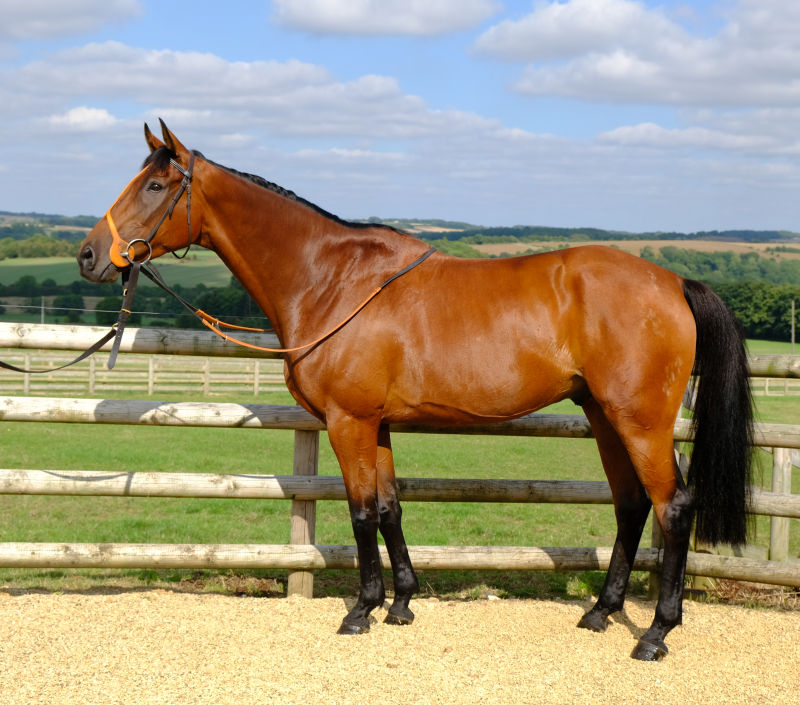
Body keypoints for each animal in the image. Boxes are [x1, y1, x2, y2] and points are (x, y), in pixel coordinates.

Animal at [78, 121, 754, 661]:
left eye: (156, 187)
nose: (88, 256)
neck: (332, 280)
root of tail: (671, 280)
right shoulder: (375, 424)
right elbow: (389, 508)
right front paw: (401, 604)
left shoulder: (348, 421)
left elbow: (358, 512)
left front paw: (360, 611)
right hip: (604, 416)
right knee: (631, 505)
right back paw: (601, 613)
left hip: (640, 422)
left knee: (672, 507)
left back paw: (656, 633)